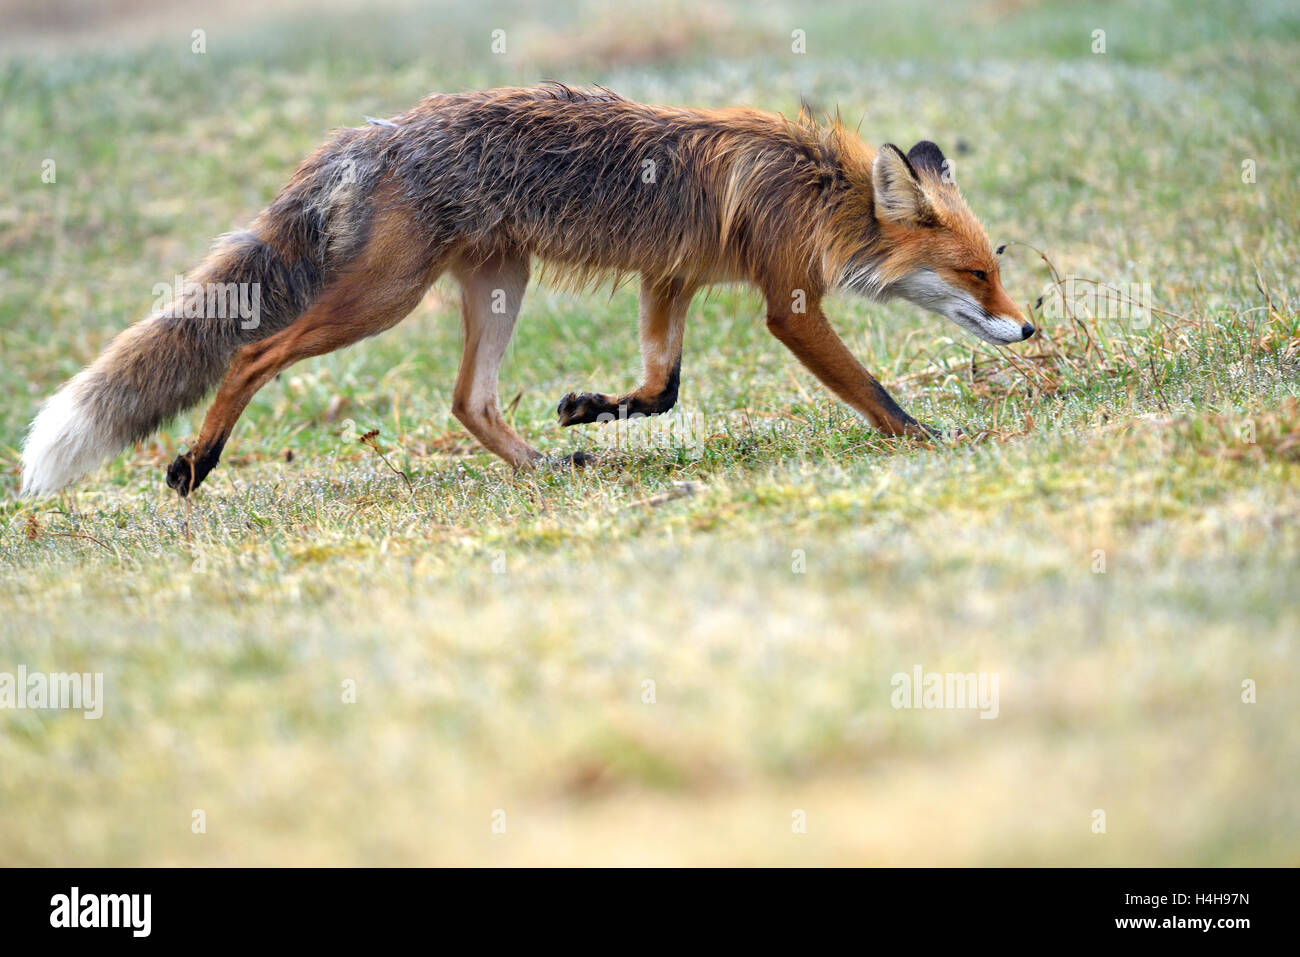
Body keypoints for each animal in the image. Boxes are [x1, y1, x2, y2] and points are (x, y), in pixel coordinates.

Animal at [20, 82, 1033, 498]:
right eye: (976, 273)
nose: (1028, 330)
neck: (818, 188)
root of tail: (378, 132)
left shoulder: (671, 278)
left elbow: (663, 386)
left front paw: (591, 408)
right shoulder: (787, 307)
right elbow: (872, 388)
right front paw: (928, 440)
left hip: (502, 280)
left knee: (469, 400)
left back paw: (547, 467)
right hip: (385, 296)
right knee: (256, 352)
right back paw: (196, 465)